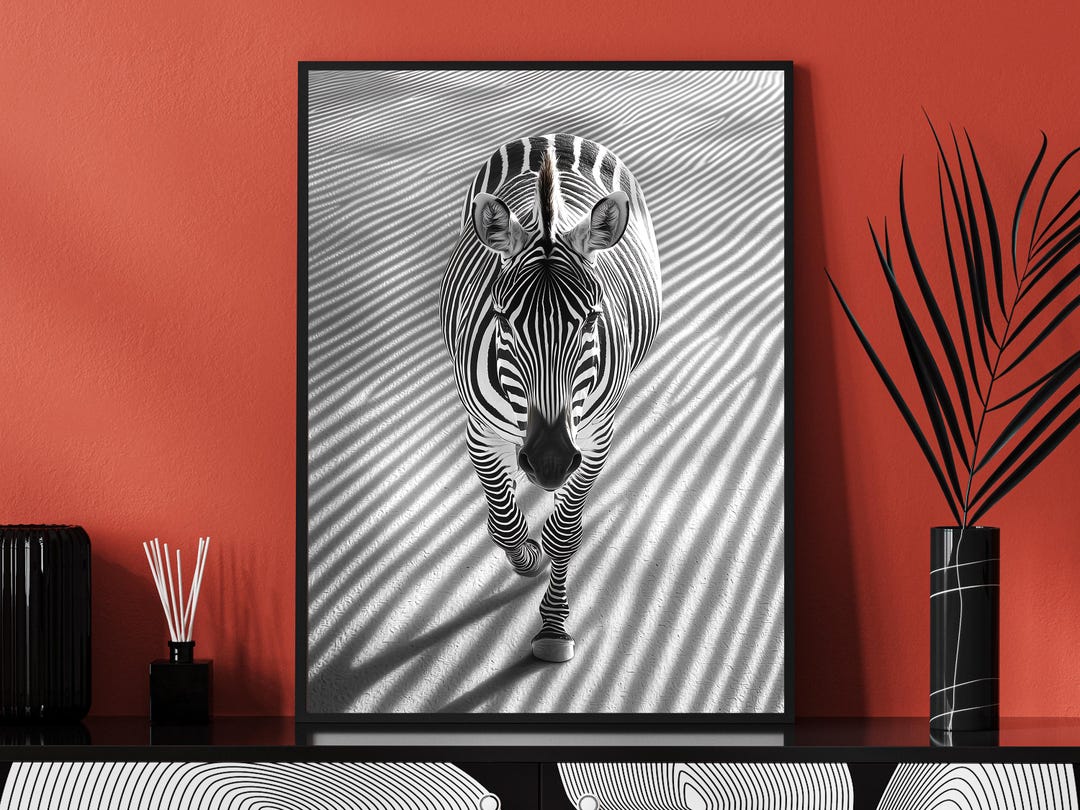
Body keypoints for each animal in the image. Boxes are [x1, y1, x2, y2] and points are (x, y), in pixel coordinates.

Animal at [440, 134, 662, 663]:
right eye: (502, 319)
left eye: (591, 318)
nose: (549, 460)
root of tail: (556, 138)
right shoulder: (479, 433)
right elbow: (503, 522)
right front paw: (525, 557)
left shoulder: (595, 440)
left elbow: (565, 535)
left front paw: (554, 628)